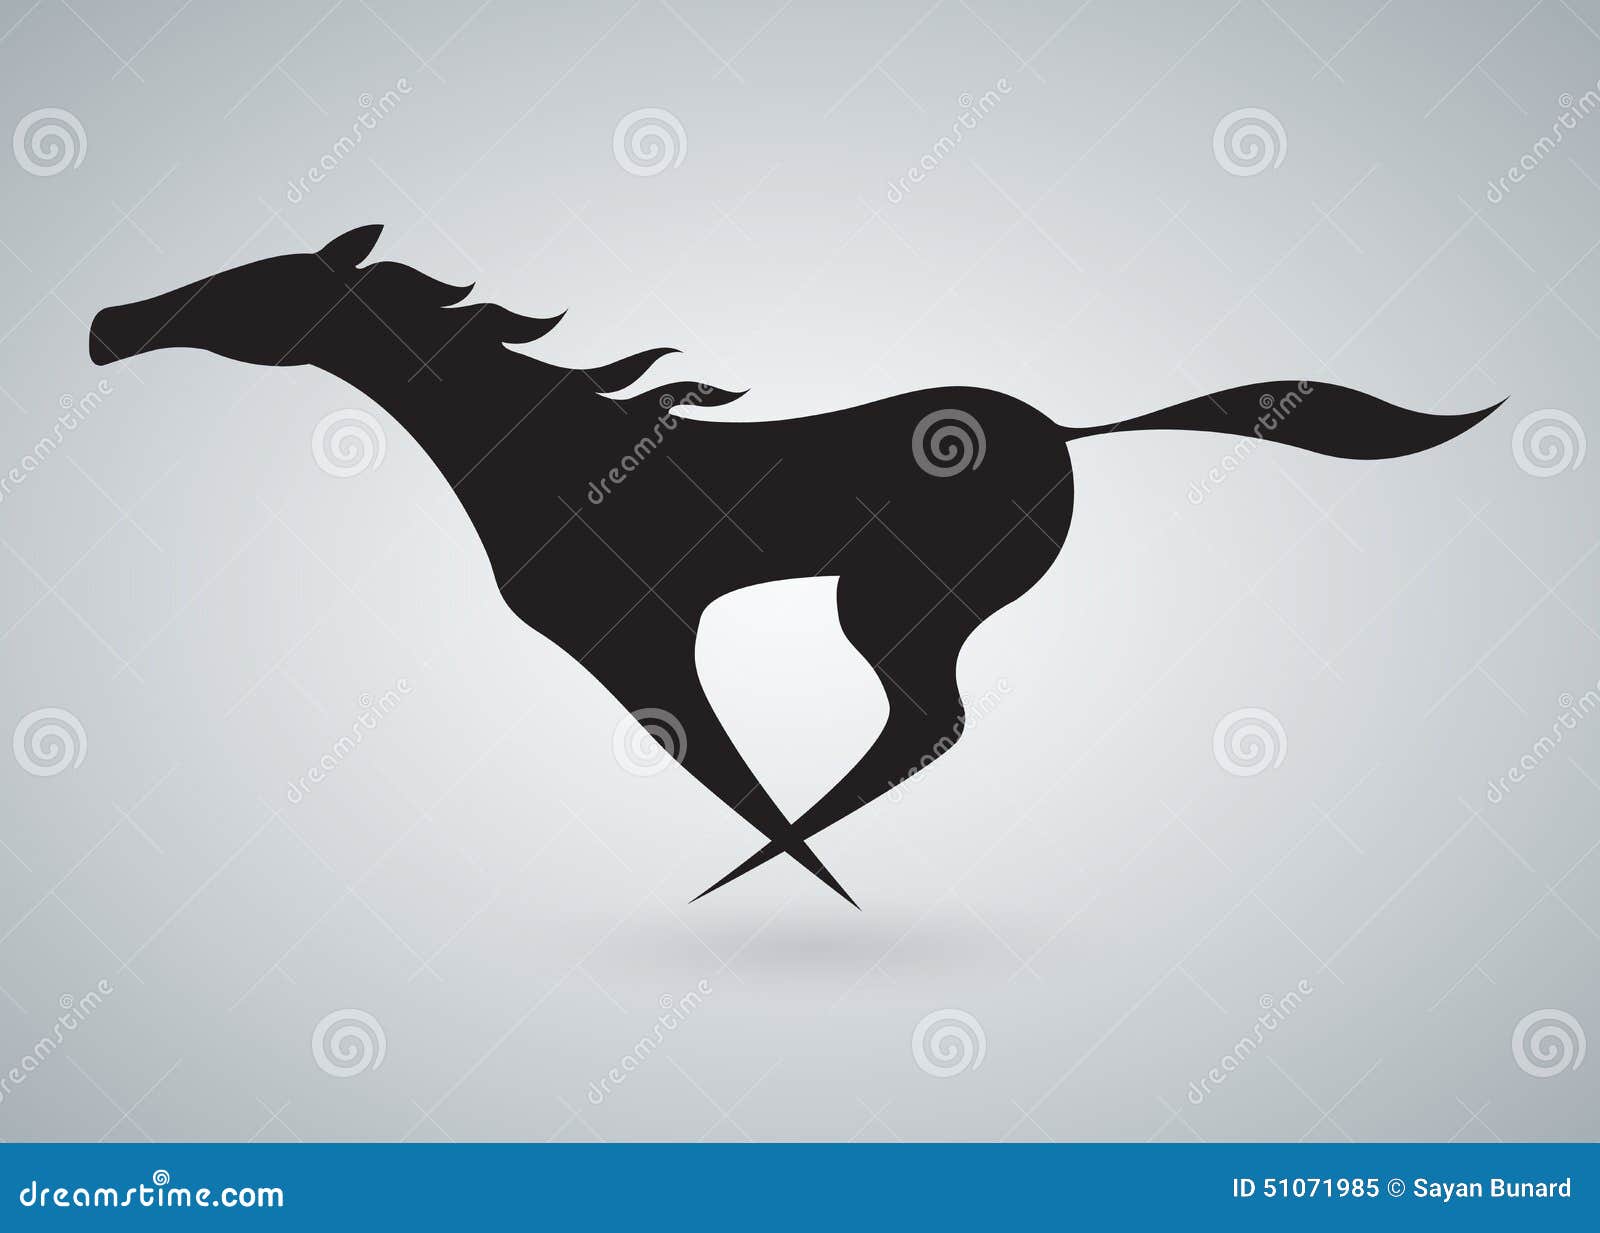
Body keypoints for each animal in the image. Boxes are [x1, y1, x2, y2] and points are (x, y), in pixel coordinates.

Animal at [89, 225, 1499, 906]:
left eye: (255, 292)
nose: (107, 327)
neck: (536, 444)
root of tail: (1067, 432)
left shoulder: (626, 635)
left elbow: (716, 763)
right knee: (923, 728)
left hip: (897, 603)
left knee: (928, 724)